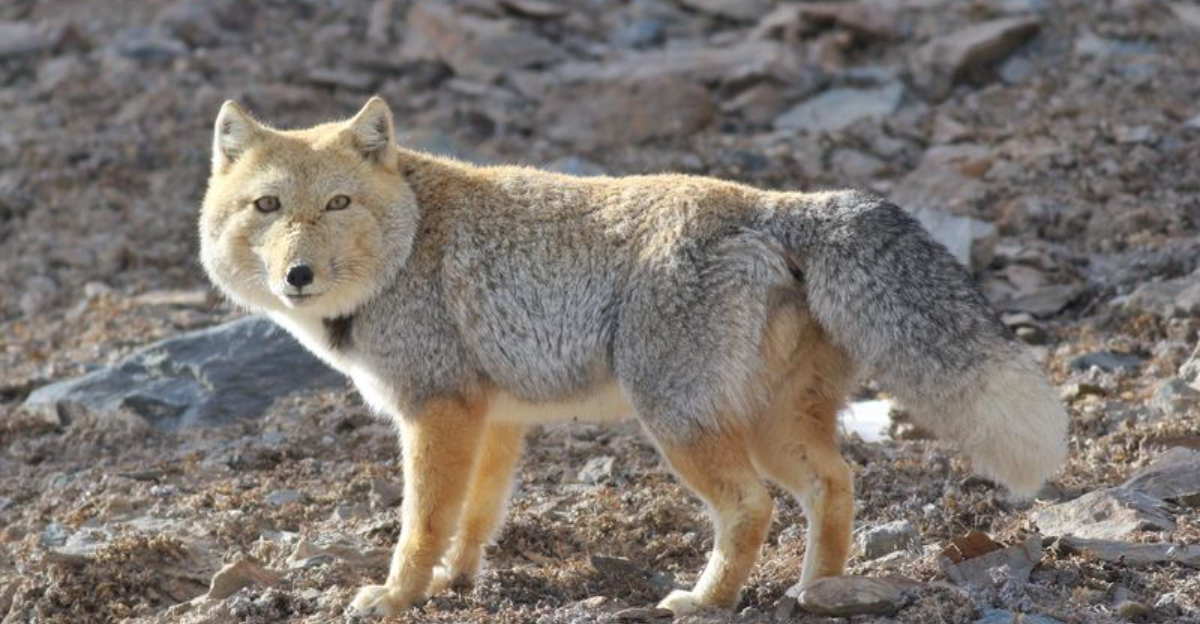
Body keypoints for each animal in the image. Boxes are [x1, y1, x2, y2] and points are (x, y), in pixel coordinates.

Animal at [198, 97, 1069, 617]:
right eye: (267, 206)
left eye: (337, 204)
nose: (297, 275)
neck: (412, 238)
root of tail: (775, 203)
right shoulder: (495, 419)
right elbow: (475, 517)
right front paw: (458, 582)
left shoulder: (436, 409)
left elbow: (423, 522)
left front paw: (397, 595)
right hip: (770, 427)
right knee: (835, 484)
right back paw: (819, 589)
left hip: (680, 424)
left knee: (750, 507)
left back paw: (707, 602)